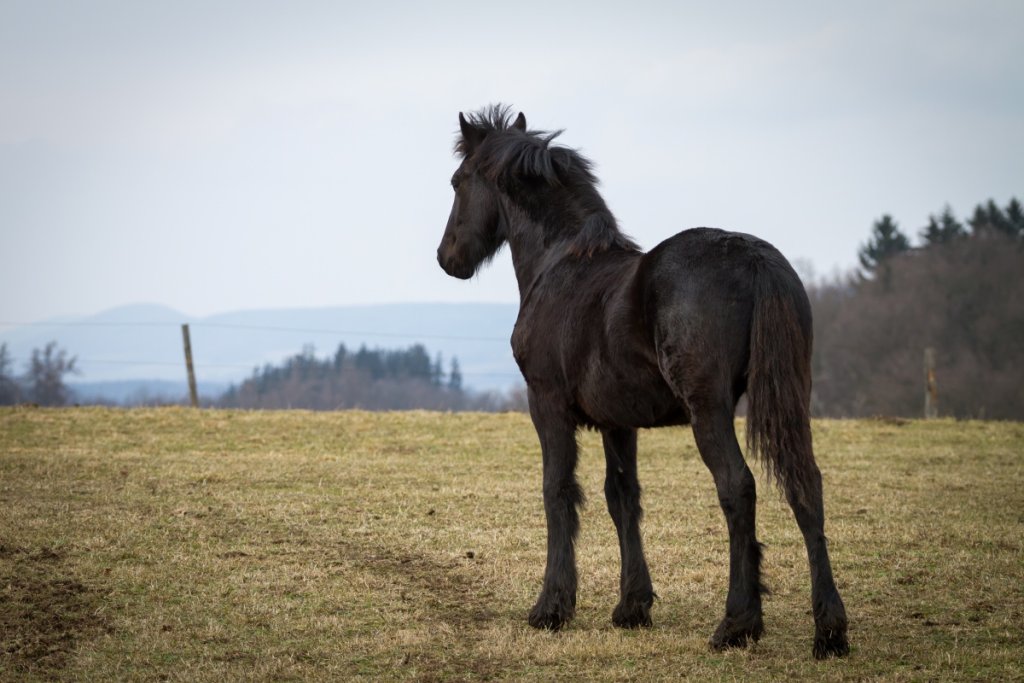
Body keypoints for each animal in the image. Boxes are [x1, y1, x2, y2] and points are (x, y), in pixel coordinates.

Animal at [435, 105, 849, 659]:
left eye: (458, 181)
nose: (447, 258)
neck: (560, 265)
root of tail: (754, 256)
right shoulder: (618, 422)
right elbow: (622, 497)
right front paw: (632, 607)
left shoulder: (546, 405)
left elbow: (557, 490)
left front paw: (551, 607)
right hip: (791, 399)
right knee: (806, 486)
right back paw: (829, 631)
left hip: (708, 409)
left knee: (737, 487)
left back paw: (736, 624)